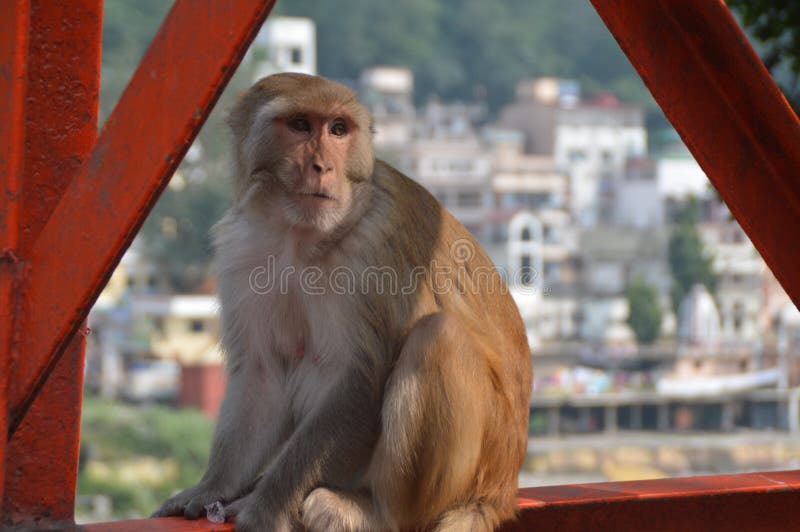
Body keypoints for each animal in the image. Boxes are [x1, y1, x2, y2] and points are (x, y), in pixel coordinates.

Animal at [153, 73, 532, 532]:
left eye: (338, 129)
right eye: (300, 125)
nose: (323, 167)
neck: (301, 235)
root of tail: (500, 493)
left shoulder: (376, 247)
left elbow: (363, 378)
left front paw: (267, 505)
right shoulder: (243, 248)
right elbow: (262, 372)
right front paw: (213, 487)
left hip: (476, 468)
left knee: (437, 337)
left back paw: (376, 511)